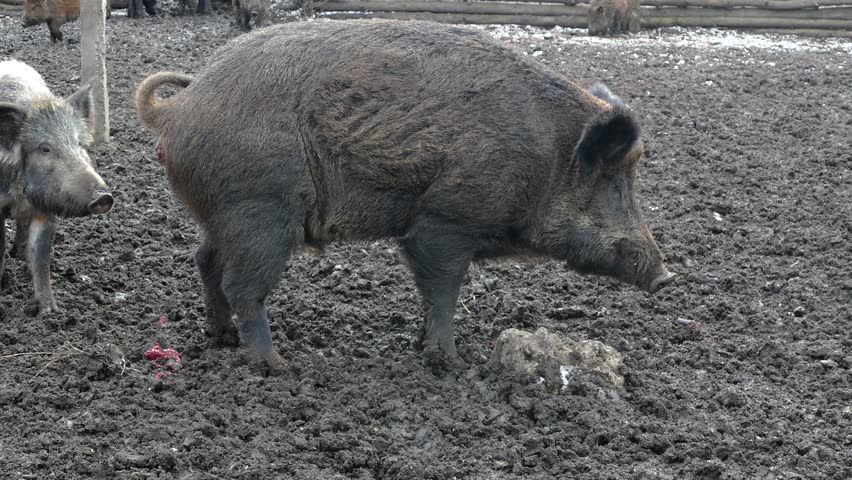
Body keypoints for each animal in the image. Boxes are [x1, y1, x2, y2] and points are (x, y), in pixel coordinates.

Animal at [0, 60, 114, 313]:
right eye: (45, 148)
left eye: (79, 143)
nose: (104, 197)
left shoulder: (48, 209)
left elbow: (41, 256)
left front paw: (51, 311)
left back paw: (19, 254)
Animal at [134, 20, 675, 370]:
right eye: (614, 181)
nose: (665, 277)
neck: (549, 156)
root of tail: (178, 109)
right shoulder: (446, 220)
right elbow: (443, 291)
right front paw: (453, 363)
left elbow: (434, 295)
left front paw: (425, 349)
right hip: (261, 209)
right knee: (243, 286)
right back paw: (277, 365)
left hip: (223, 212)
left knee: (205, 260)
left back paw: (222, 339)